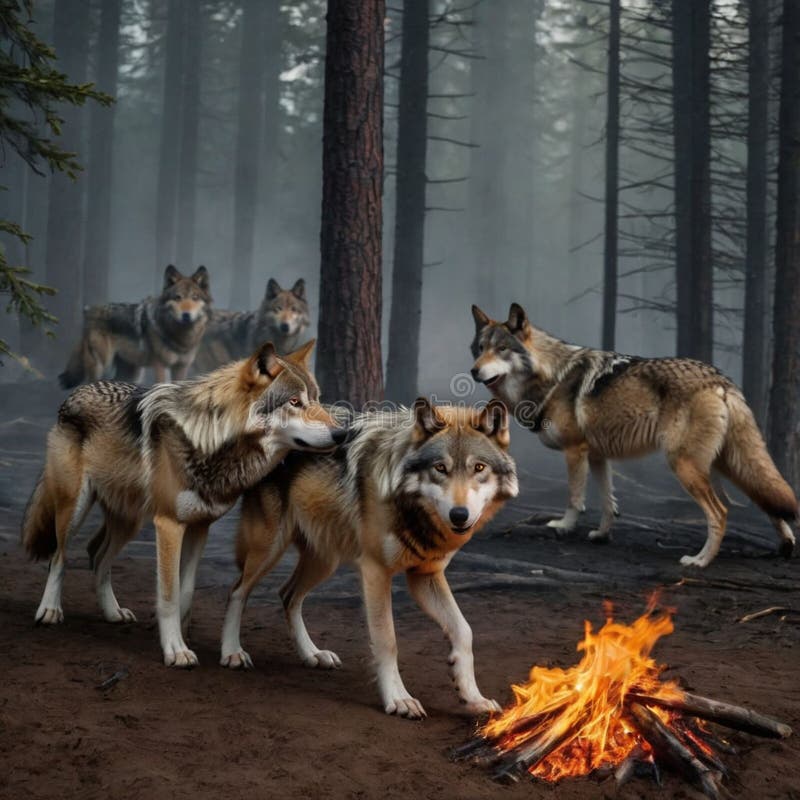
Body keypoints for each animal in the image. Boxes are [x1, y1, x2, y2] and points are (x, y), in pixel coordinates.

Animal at [22, 340, 348, 667]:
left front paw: (185, 635)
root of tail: (76, 392)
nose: (342, 433)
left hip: (130, 521)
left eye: (317, 399)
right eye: (294, 402)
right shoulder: (169, 525)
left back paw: (113, 612)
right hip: (75, 506)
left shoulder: (200, 526)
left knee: (97, 554)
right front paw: (176, 650)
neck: (212, 443)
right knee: (59, 556)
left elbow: (187, 591)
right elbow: (168, 595)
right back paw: (49, 610)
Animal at [59, 265, 212, 387]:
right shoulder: (161, 365)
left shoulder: (181, 367)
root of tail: (89, 309)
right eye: (177, 297)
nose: (186, 315)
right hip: (100, 366)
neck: (181, 337)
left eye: (194, 298)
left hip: (132, 373)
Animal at [219, 397, 519, 719]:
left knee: (287, 595)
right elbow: (387, 640)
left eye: (479, 468)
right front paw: (398, 699)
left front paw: (472, 697)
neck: (409, 507)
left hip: (325, 560)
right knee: (237, 591)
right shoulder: (376, 571)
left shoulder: (424, 575)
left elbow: (464, 631)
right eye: (441, 468)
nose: (459, 515)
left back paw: (312, 654)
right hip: (269, 549)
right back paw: (232, 652)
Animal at [470, 303, 798, 568]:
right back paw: (785, 546)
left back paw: (701, 560)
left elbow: (575, 498)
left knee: (721, 513)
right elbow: (607, 502)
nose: (473, 371)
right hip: (729, 466)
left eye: (501, 349)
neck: (552, 376)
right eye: (480, 348)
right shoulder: (598, 456)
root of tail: (721, 382)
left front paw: (563, 526)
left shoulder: (575, 451)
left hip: (685, 466)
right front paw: (602, 534)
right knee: (769, 500)